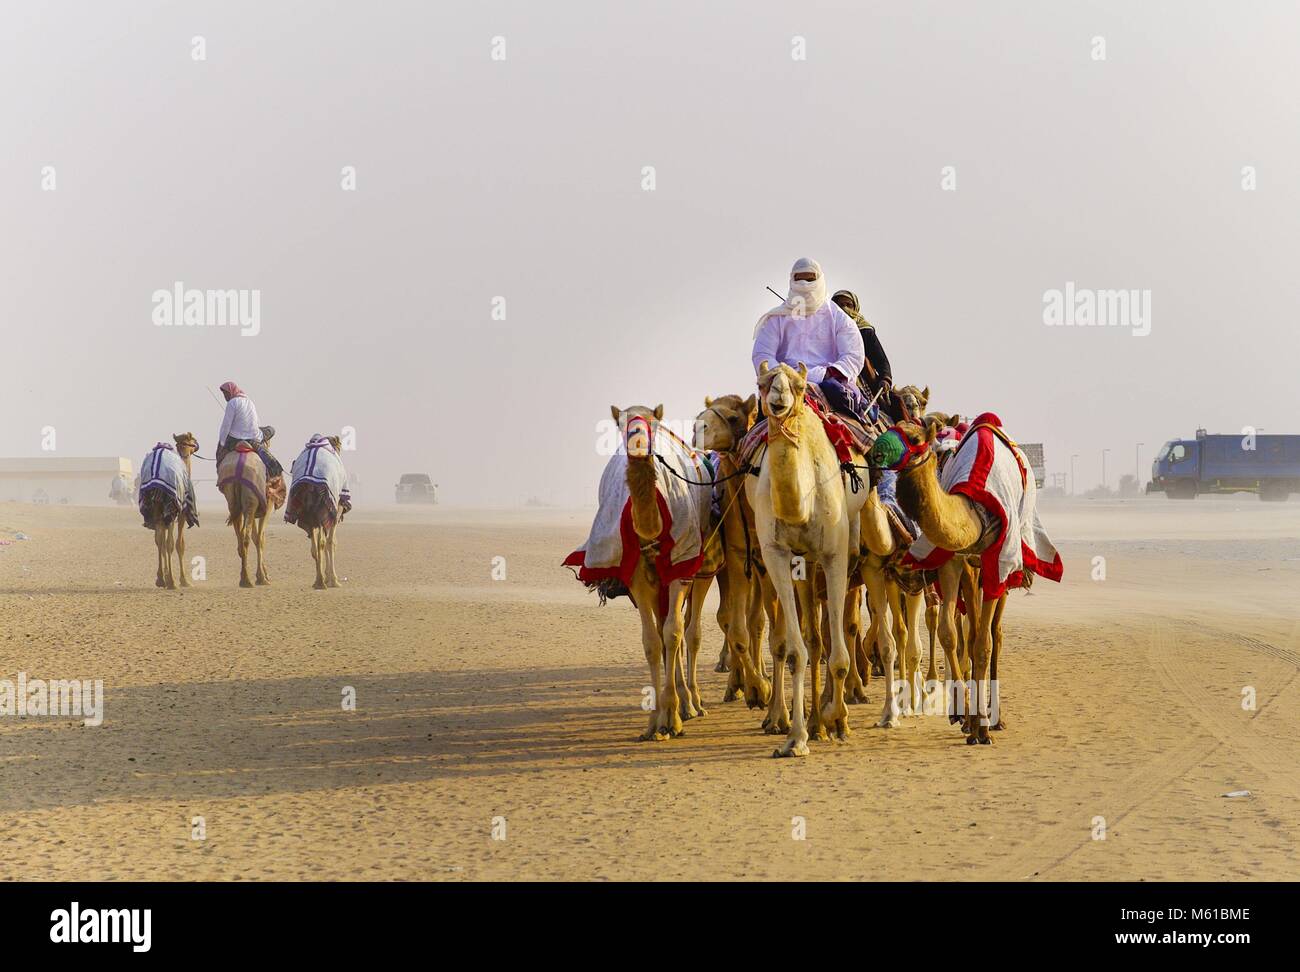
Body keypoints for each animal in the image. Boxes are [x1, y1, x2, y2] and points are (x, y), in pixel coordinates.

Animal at [139, 433, 199, 590]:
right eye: (192, 440)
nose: (196, 445)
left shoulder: (161, 516)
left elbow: (160, 540)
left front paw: (163, 575)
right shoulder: (181, 512)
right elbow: (179, 544)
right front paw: (184, 580)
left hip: (156, 507)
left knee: (160, 541)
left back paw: (161, 579)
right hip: (170, 507)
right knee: (170, 543)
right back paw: (171, 582)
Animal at [744, 362, 865, 756]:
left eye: (798, 387)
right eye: (762, 383)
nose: (779, 400)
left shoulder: (833, 553)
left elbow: (839, 656)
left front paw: (837, 719)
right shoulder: (776, 554)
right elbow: (797, 650)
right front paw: (796, 737)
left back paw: (826, 719)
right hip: (799, 563)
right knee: (811, 637)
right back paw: (804, 721)